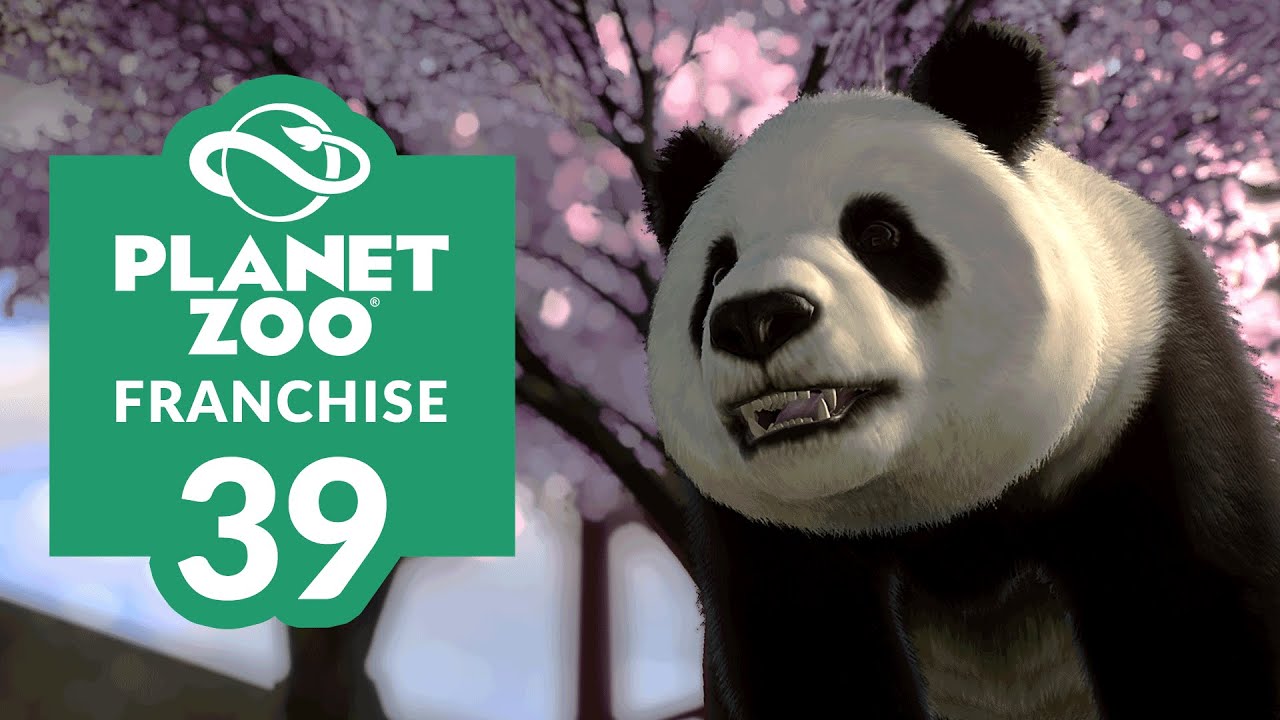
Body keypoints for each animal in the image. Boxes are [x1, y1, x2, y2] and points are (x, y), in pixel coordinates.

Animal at [641, 19, 1280, 720]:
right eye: (718, 269)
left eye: (879, 234)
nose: (757, 319)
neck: (942, 513)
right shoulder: (766, 533)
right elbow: (808, 654)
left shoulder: (1145, 398)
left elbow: (1190, 620)